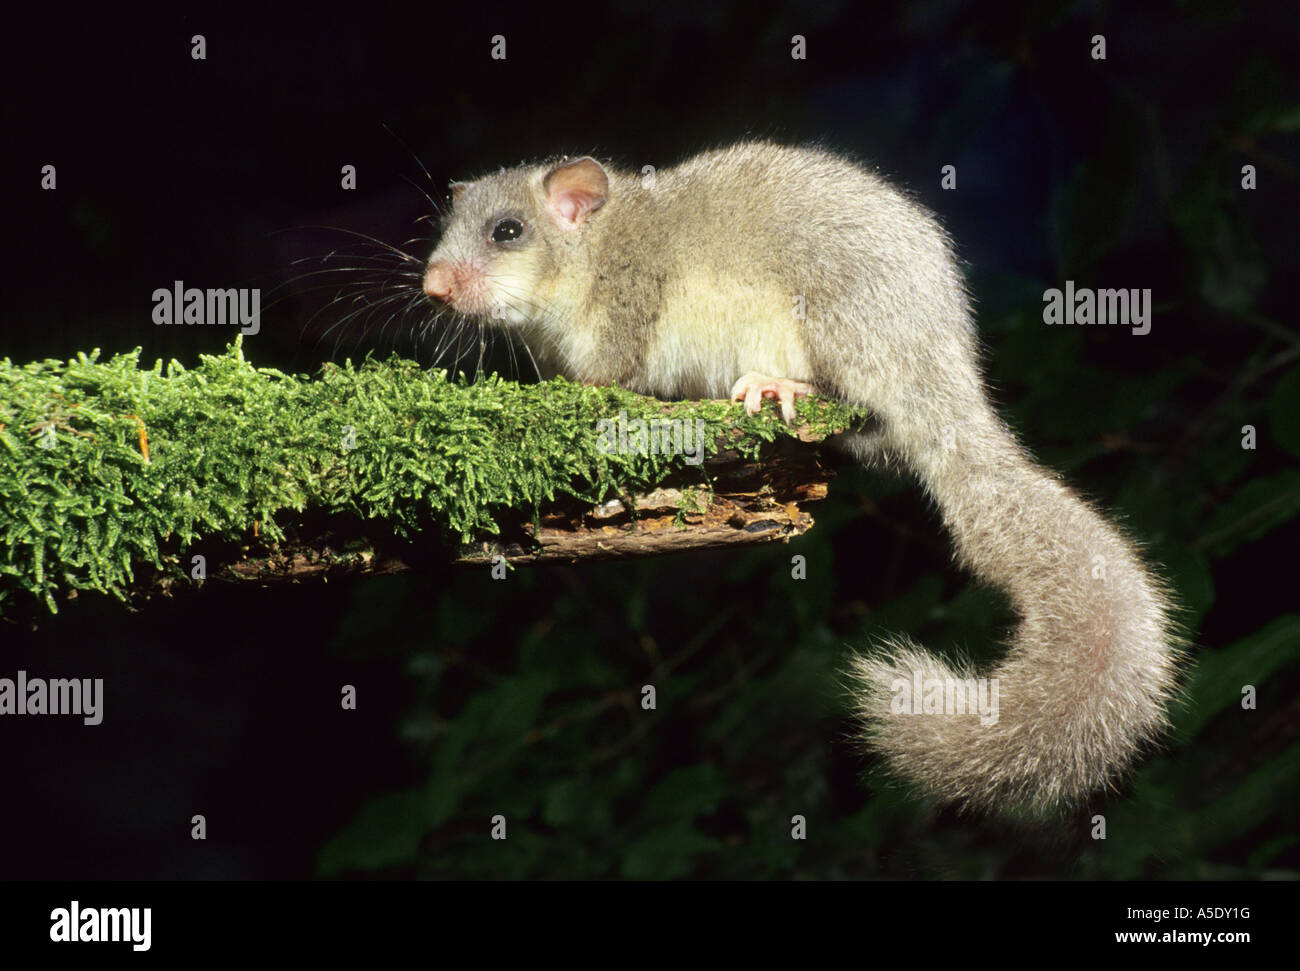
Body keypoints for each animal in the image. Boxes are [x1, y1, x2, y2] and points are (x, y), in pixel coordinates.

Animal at [420, 141, 1182, 816]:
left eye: (507, 231)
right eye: (445, 227)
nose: (431, 286)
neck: (592, 253)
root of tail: (949, 389)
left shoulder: (623, 318)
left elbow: (605, 378)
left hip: (840, 324)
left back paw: (774, 383)